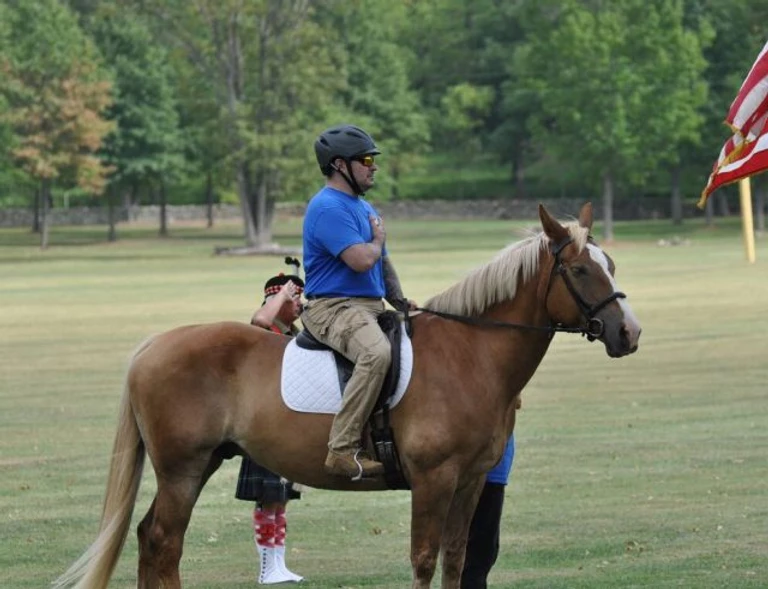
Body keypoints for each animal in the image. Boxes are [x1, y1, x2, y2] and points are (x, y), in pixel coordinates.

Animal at [53, 202, 641, 589]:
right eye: (580, 269)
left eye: (612, 265)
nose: (628, 333)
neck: (468, 352)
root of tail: (153, 344)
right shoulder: (434, 480)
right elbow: (424, 559)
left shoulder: (471, 480)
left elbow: (456, 558)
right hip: (183, 468)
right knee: (162, 542)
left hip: (198, 466)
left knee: (151, 540)